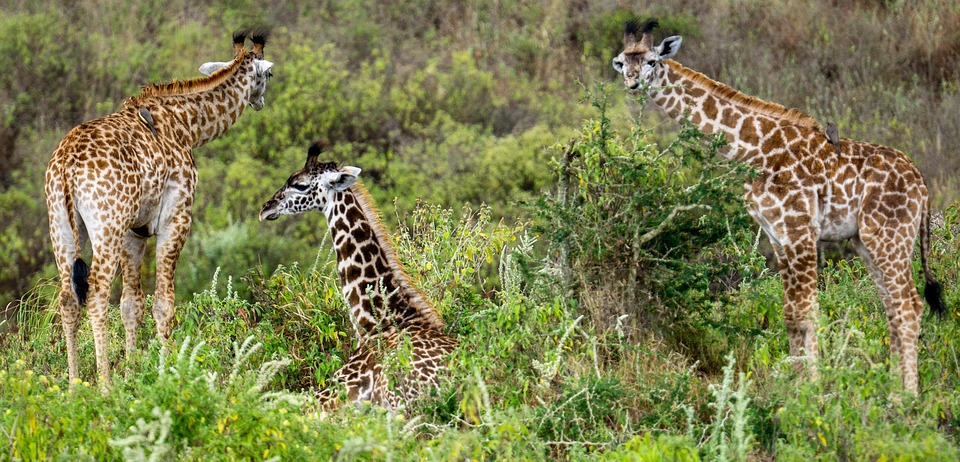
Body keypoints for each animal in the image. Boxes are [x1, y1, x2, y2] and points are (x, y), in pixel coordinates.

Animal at [45, 30, 274, 388]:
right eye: (270, 76)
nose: (260, 101)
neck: (187, 126)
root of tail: (66, 165)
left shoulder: (134, 231)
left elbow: (131, 304)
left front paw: (132, 373)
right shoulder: (176, 219)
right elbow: (164, 303)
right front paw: (167, 374)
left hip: (61, 225)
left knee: (68, 298)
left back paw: (73, 387)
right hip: (105, 226)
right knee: (96, 294)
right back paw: (105, 387)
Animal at [612, 19, 945, 393]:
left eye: (653, 61)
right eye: (621, 63)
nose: (632, 83)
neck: (753, 149)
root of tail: (922, 184)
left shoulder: (799, 230)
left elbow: (807, 311)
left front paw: (813, 390)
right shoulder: (776, 235)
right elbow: (789, 314)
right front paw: (796, 386)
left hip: (889, 236)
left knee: (909, 305)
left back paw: (907, 397)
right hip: (866, 241)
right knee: (892, 305)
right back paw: (892, 391)